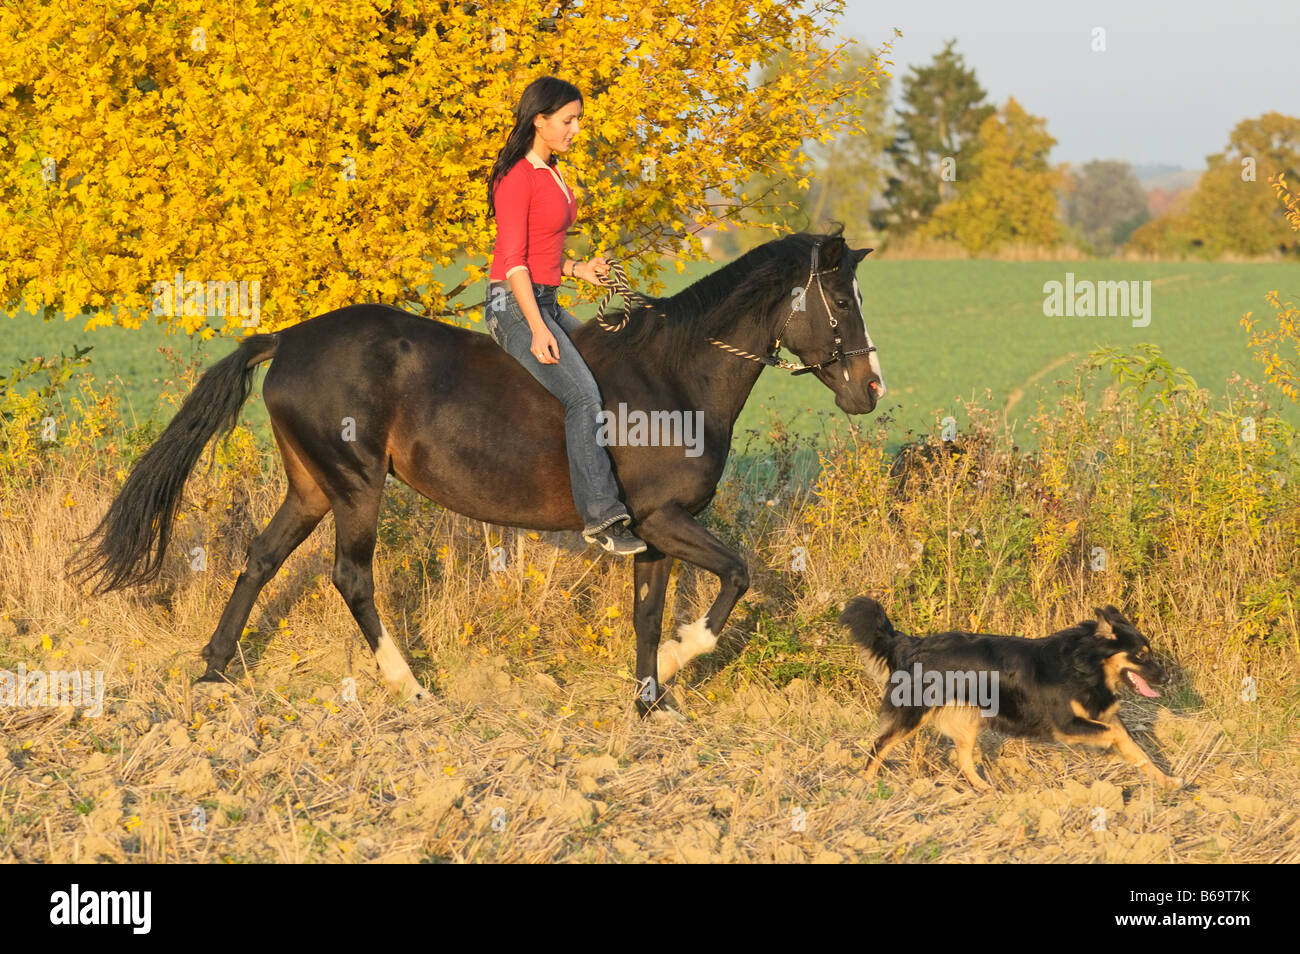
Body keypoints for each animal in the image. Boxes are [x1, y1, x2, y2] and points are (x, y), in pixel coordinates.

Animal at [73, 227, 886, 717]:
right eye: (842, 302)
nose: (870, 389)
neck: (674, 377)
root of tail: (291, 340)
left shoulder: (654, 534)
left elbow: (649, 613)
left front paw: (652, 699)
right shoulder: (664, 520)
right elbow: (738, 576)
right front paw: (683, 659)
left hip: (310, 485)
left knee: (262, 557)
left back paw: (214, 668)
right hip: (356, 486)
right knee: (350, 576)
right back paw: (407, 684)